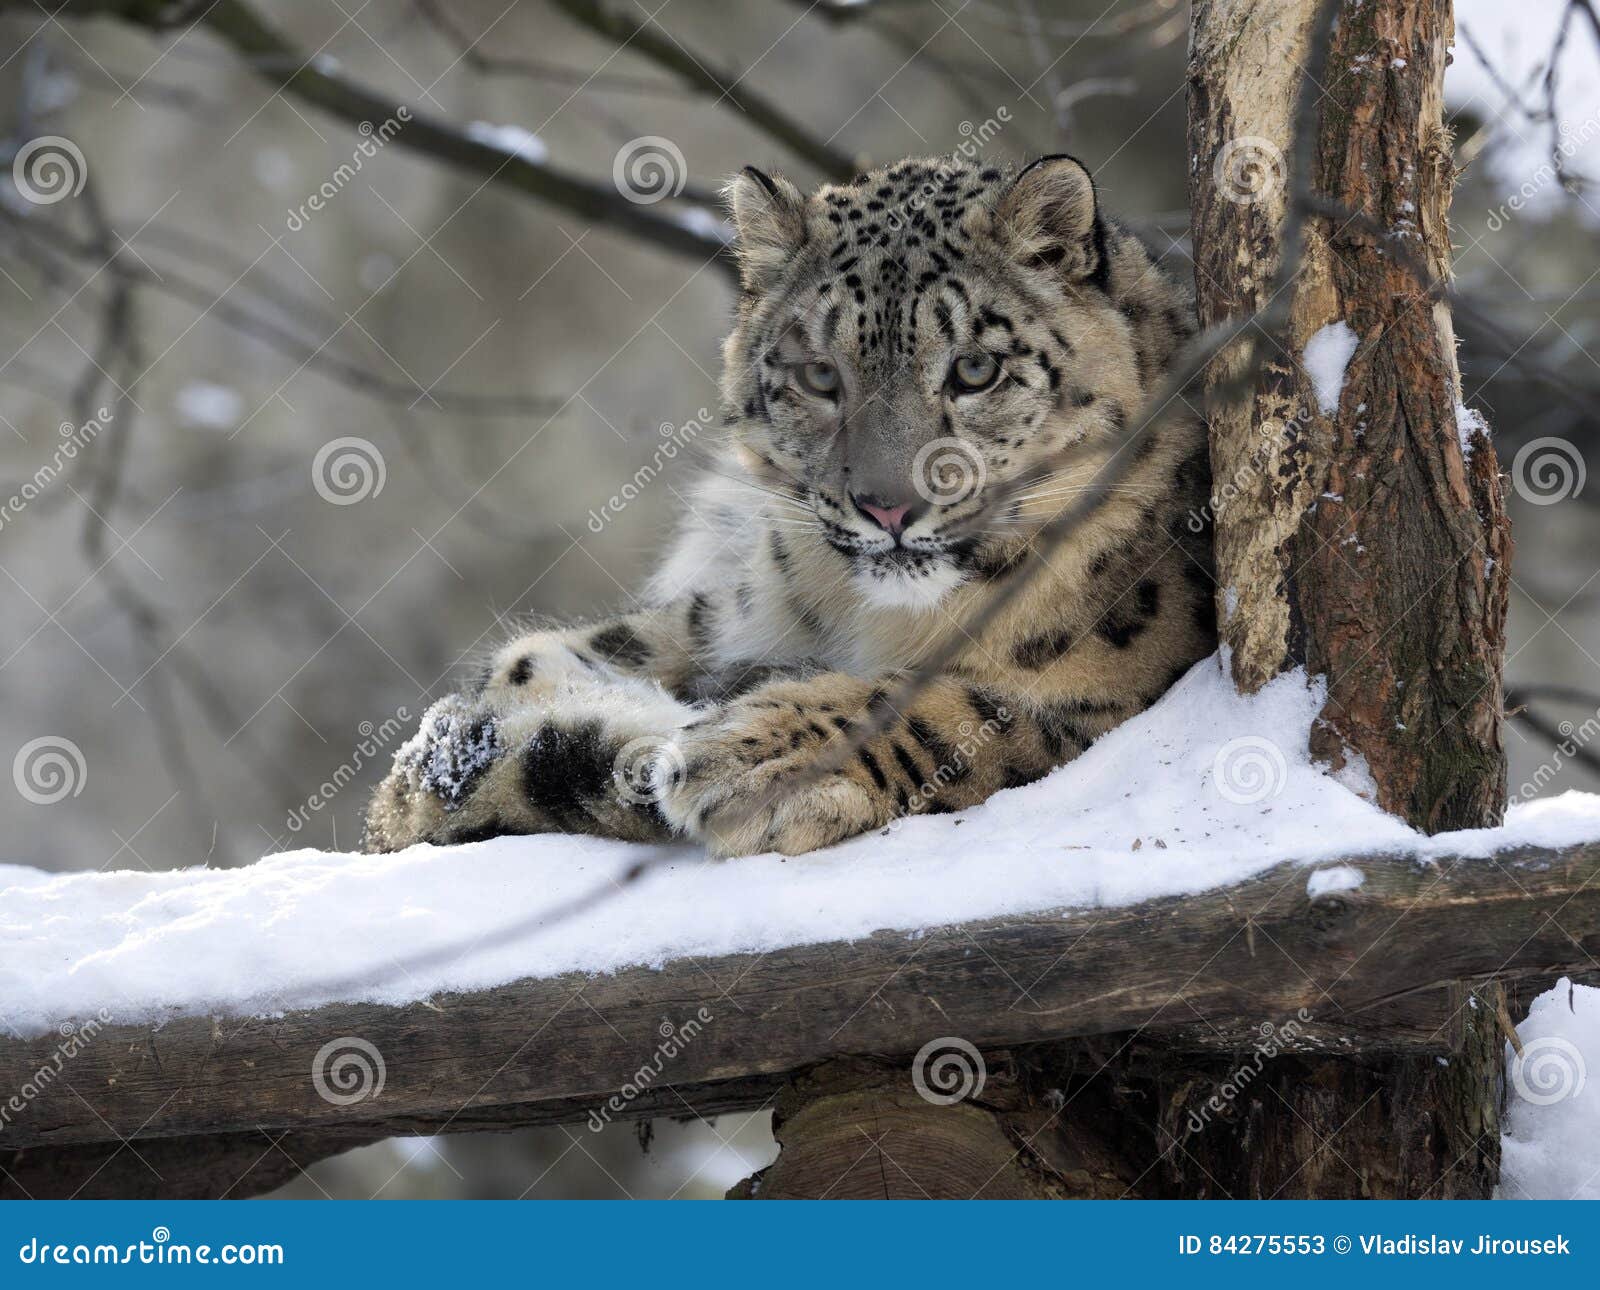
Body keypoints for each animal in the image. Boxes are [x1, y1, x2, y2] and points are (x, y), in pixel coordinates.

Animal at [362, 154, 1216, 860]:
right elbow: (520, 674)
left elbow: (972, 711)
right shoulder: (713, 613)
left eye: (975, 369)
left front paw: (758, 755)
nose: (888, 508)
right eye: (818, 375)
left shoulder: (1125, 678)